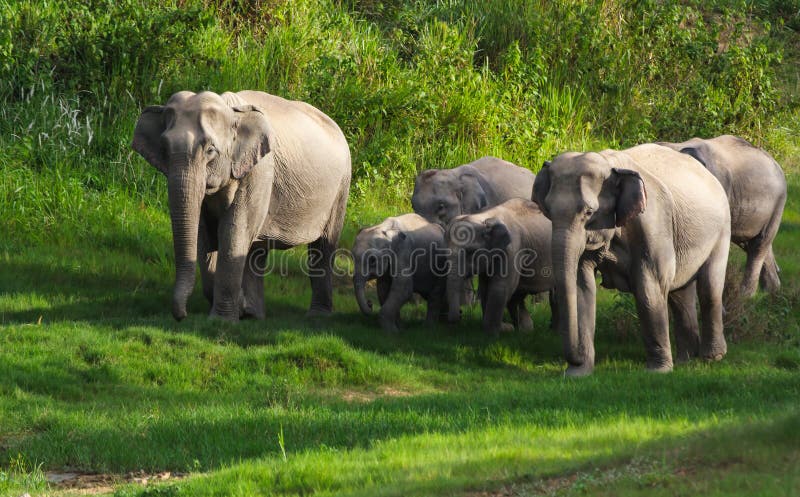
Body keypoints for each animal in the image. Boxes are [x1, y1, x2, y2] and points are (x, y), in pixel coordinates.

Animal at [132, 90, 351, 321]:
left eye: (210, 150)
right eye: (164, 149)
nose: (182, 316)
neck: (231, 110)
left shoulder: (257, 171)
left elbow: (233, 232)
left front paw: (222, 319)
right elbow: (205, 236)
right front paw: (236, 309)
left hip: (341, 187)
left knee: (323, 247)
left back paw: (317, 316)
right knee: (257, 249)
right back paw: (254, 315)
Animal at [445, 198, 553, 335]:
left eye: (471, 252)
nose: (460, 313)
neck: (485, 217)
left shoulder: (513, 250)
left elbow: (499, 288)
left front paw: (495, 332)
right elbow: (486, 287)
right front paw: (504, 328)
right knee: (517, 296)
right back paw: (525, 330)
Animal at [533, 144, 731, 376]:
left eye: (589, 212)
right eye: (548, 211)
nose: (575, 359)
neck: (609, 164)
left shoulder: (652, 224)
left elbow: (649, 287)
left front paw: (658, 372)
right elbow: (582, 287)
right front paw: (577, 374)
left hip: (722, 230)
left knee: (709, 288)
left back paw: (712, 357)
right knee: (680, 295)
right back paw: (686, 360)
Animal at [657, 135, 786, 297]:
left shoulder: (719, 186)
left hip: (778, 203)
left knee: (760, 243)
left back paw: (746, 295)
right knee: (755, 244)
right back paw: (771, 291)